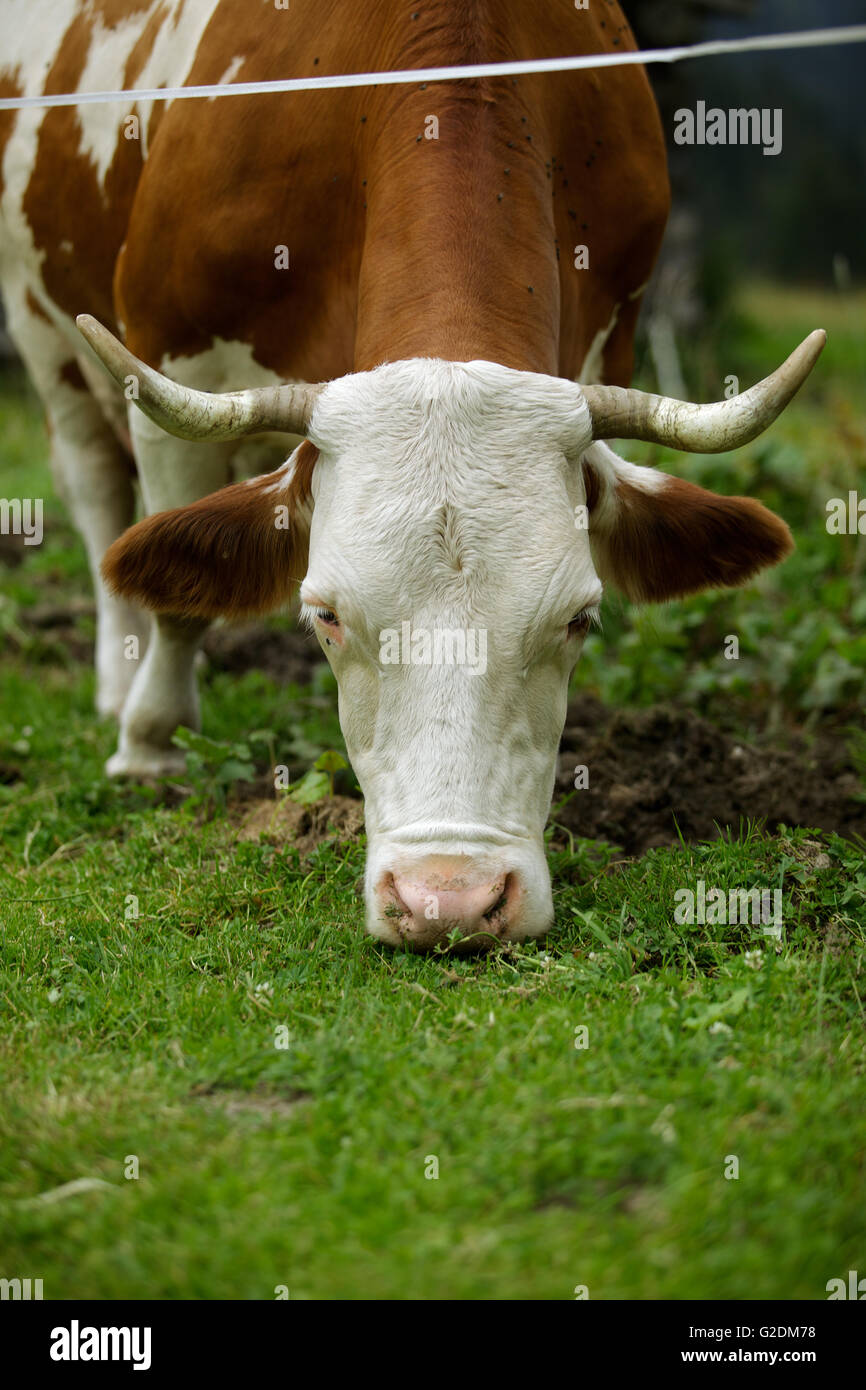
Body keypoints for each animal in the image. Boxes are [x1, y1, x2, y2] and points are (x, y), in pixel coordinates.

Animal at [0, 1, 823, 949]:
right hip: (44, 331)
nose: (451, 902)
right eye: (325, 616)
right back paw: (114, 683)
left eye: (580, 620)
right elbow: (176, 601)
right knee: (101, 498)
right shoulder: (170, 360)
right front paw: (150, 742)